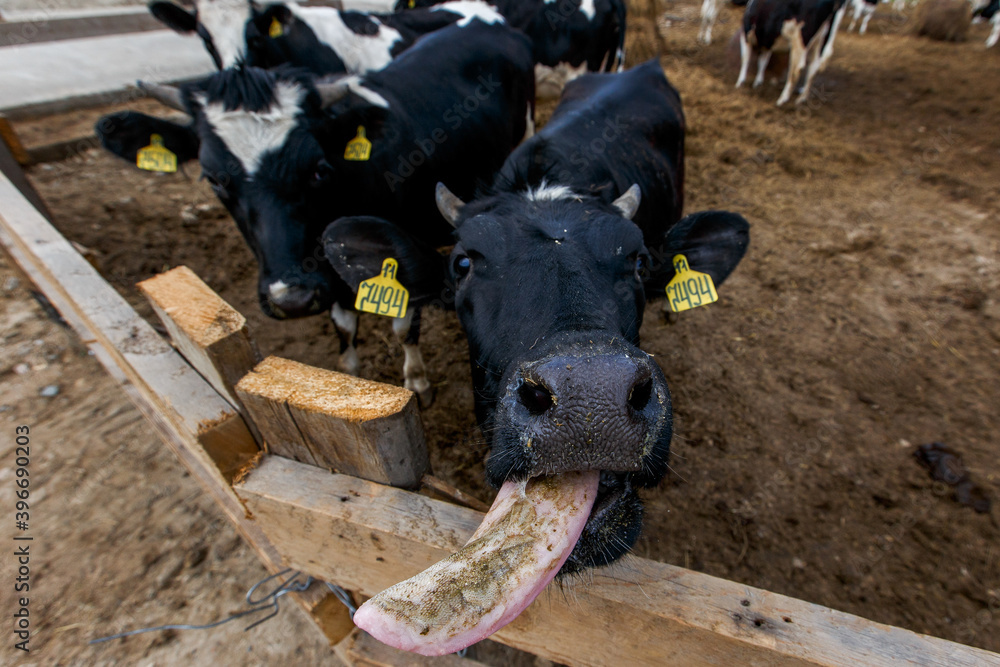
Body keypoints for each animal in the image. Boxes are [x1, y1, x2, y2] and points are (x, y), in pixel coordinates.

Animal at [95, 21, 535, 403]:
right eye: (214, 179)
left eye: (318, 169)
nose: (293, 299)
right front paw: (348, 375)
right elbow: (344, 329)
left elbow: (403, 325)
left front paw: (418, 383)